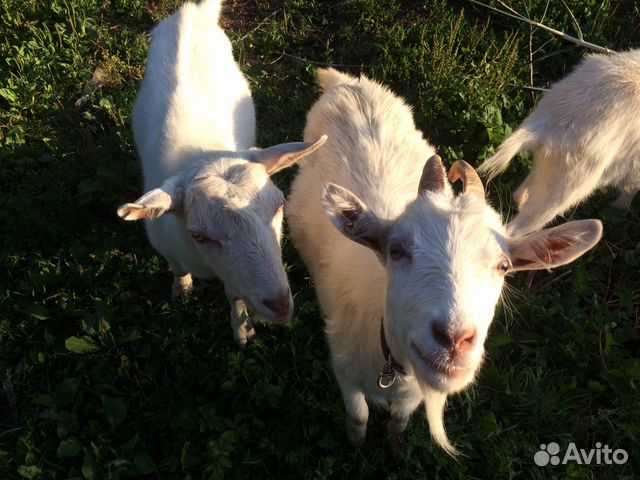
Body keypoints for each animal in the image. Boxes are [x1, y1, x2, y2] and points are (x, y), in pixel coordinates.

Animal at [117, 0, 326, 345]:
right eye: (200, 235)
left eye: (280, 206)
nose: (280, 304)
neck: (202, 153)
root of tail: (192, 11)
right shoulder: (167, 245)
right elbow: (178, 269)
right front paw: (181, 291)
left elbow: (235, 296)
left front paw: (241, 330)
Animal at [287, 68, 603, 455]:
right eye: (396, 250)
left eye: (503, 265)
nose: (454, 339)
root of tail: (348, 83)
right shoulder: (344, 367)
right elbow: (359, 416)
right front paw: (356, 445)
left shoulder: (411, 393)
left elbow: (399, 419)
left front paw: (394, 446)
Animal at [478, 49, 640, 236]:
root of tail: (549, 122)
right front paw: (621, 208)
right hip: (568, 188)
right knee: (511, 230)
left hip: (548, 171)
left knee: (520, 195)